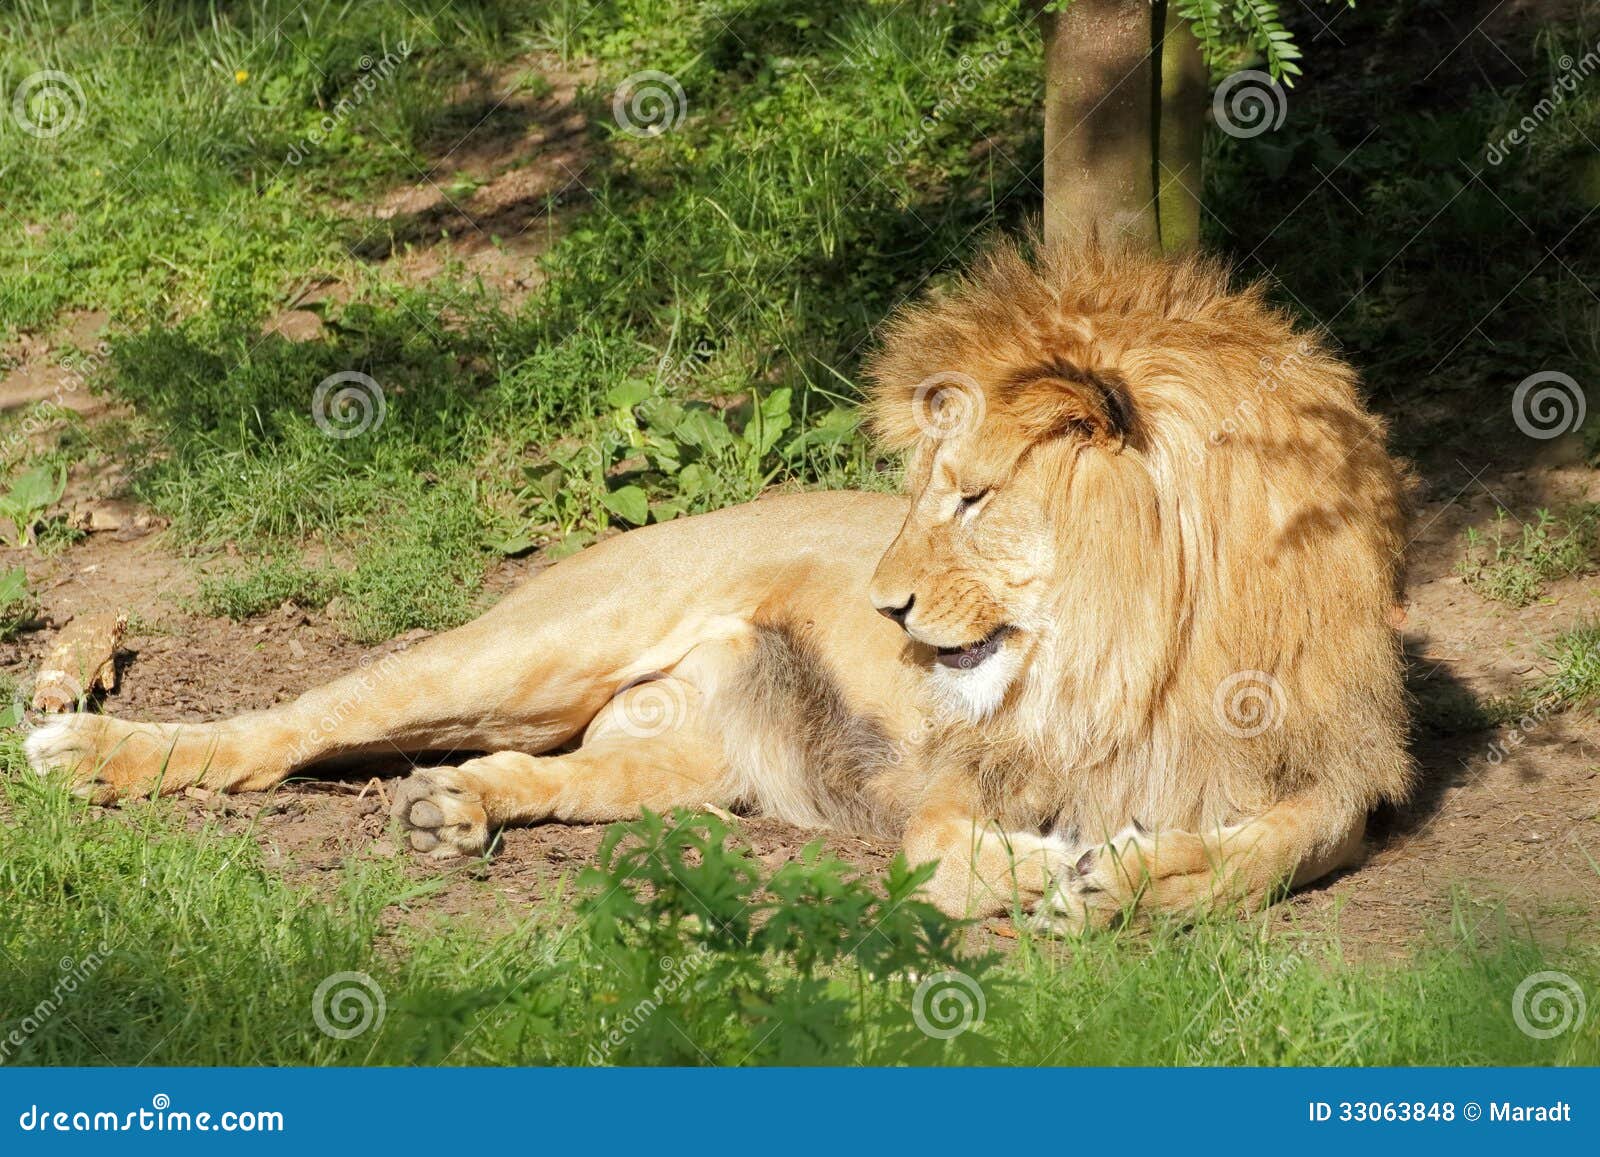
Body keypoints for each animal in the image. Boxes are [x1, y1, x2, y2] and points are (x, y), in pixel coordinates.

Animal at [23, 240, 1413, 930]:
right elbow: (952, 851)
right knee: (298, 721)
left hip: (680, 753)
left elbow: (1270, 850)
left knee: (556, 769)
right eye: (924, 491)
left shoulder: (1330, 776)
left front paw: (1150, 876)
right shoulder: (966, 772)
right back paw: (96, 751)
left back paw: (455, 807)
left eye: (967, 499)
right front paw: (1043, 876)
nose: (888, 607)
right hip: (534, 646)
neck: (1144, 648)